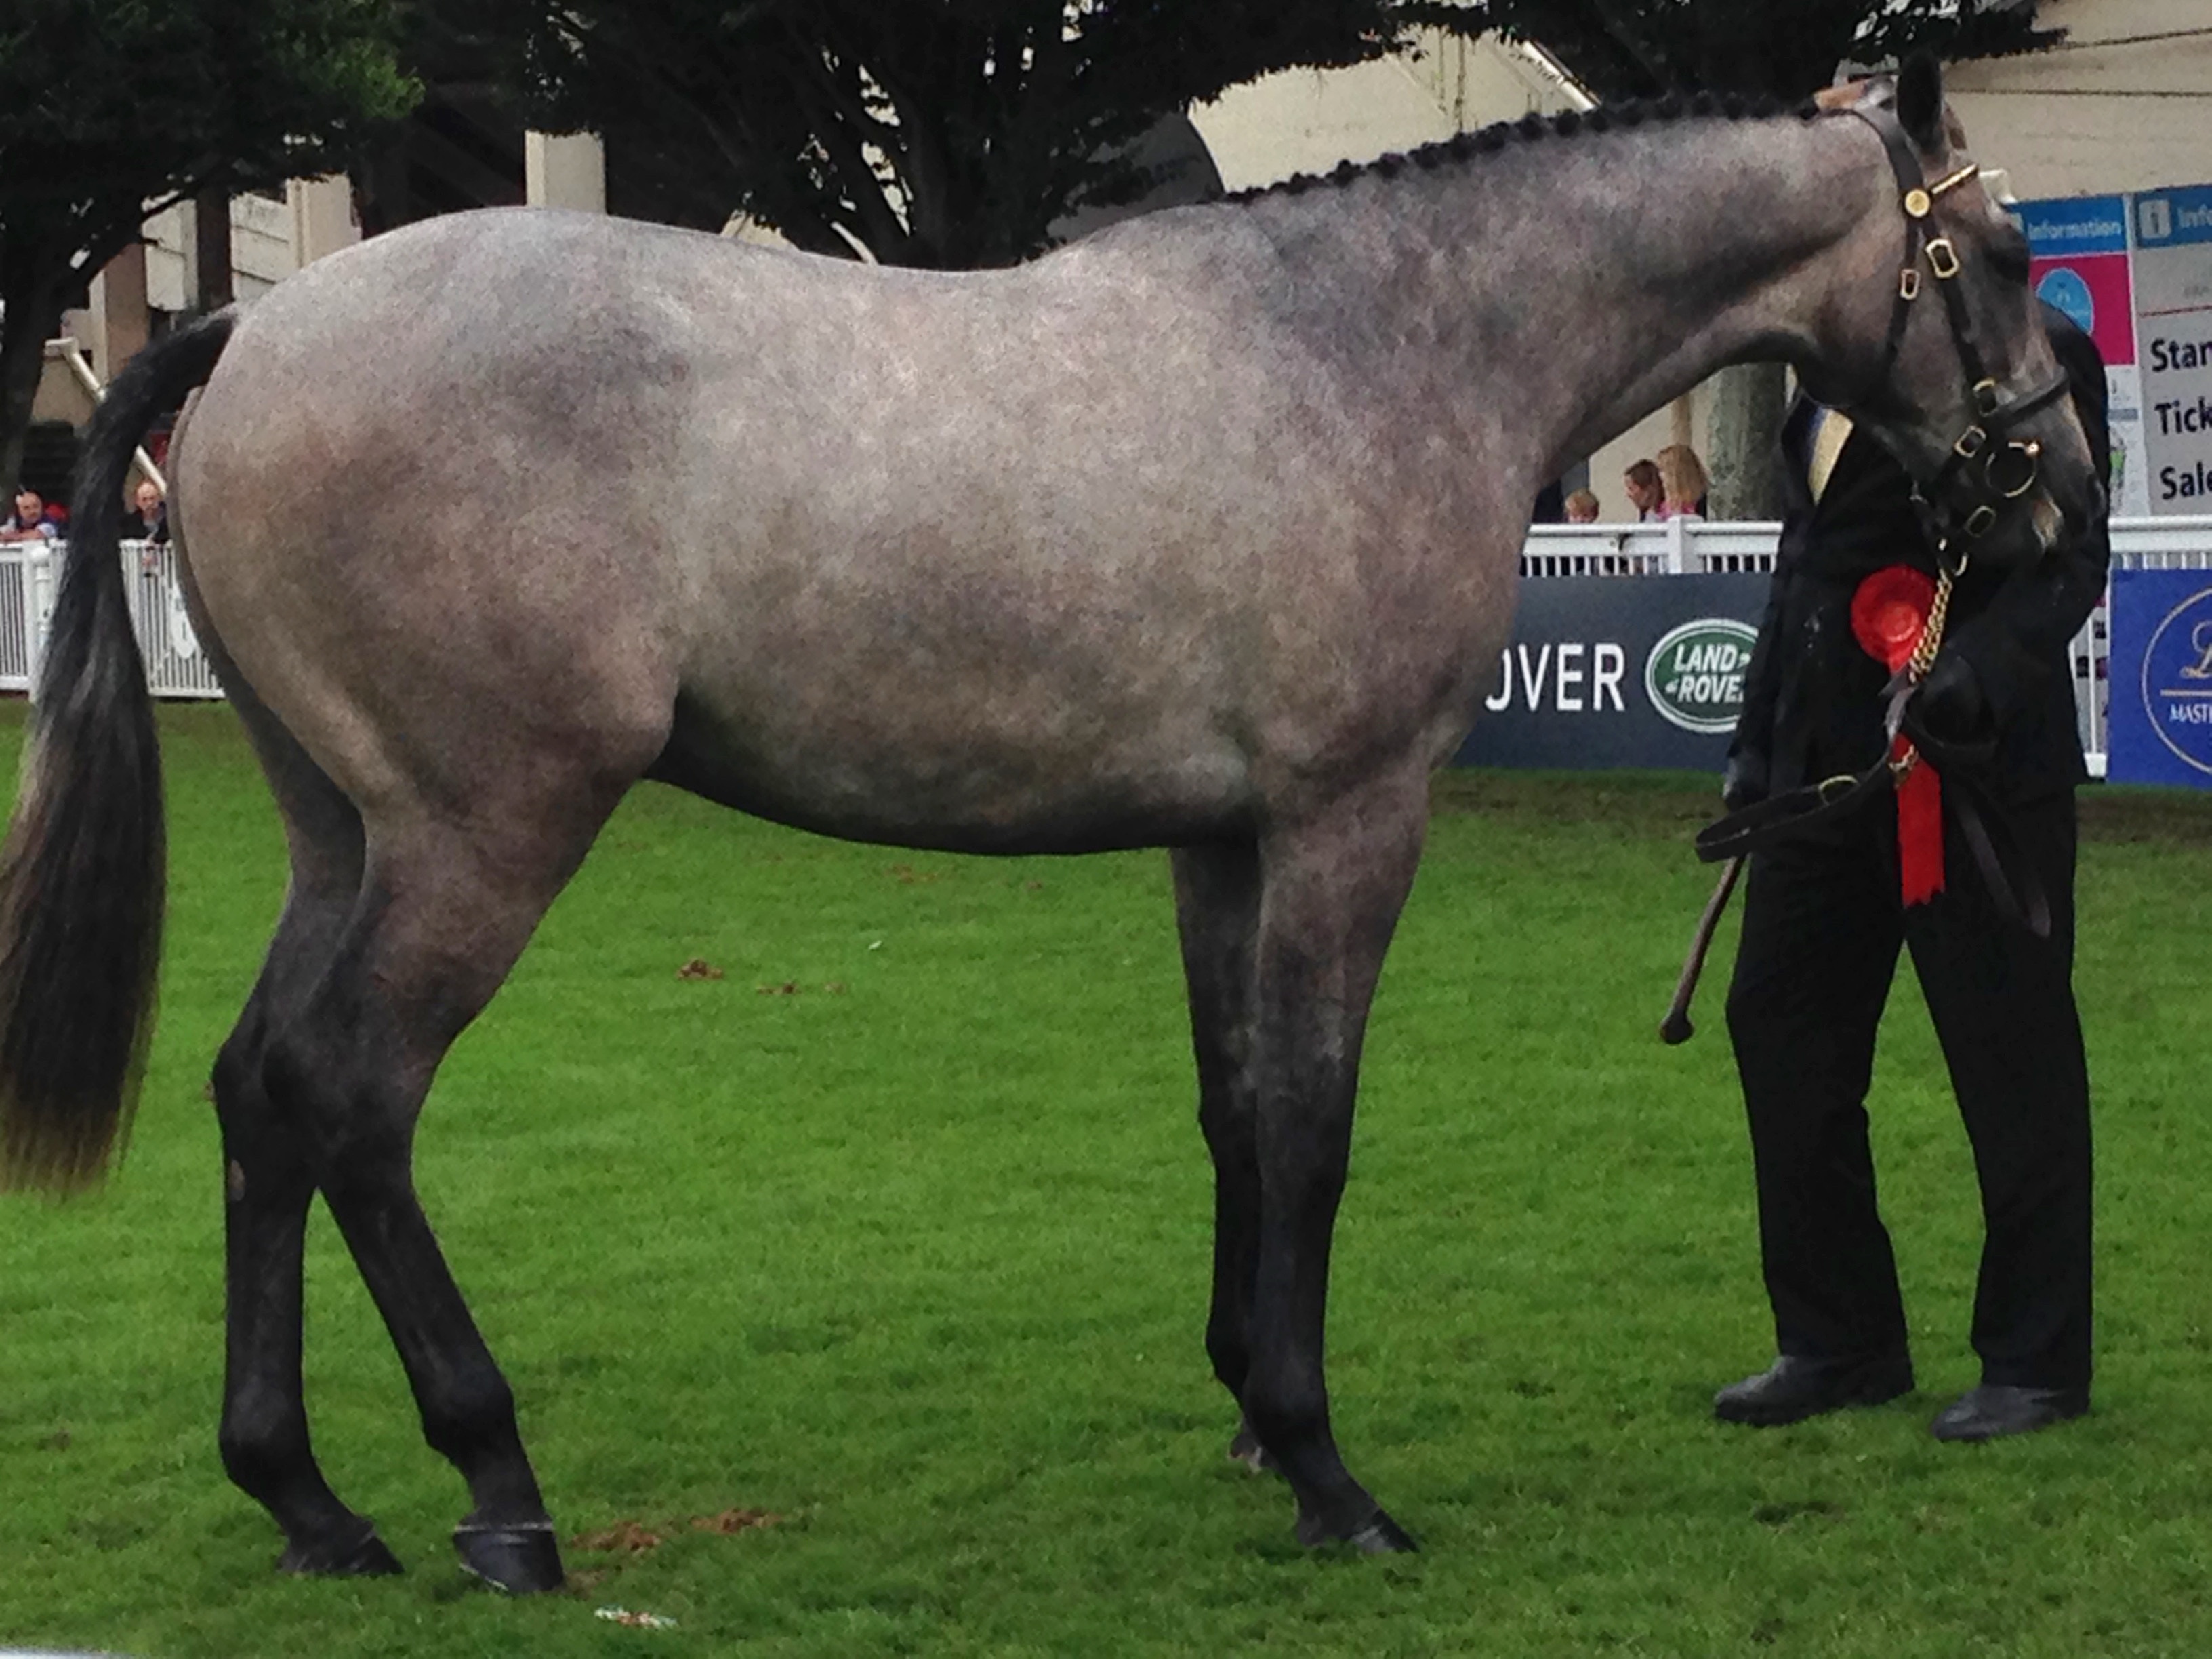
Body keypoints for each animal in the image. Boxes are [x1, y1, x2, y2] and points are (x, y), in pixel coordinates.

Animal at [0, 60, 2097, 1592]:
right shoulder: (1349, 819)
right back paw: (495, 1487)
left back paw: (307, 1499)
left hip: (342, 835)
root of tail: (254, 336)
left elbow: (1237, 1111)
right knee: (351, 1100)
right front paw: (1331, 1472)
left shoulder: (1218, 836)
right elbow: (1316, 1123)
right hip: (481, 835)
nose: (2059, 491)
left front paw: (1251, 1404)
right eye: (2002, 255)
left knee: (261, 1095)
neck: (1377, 341)